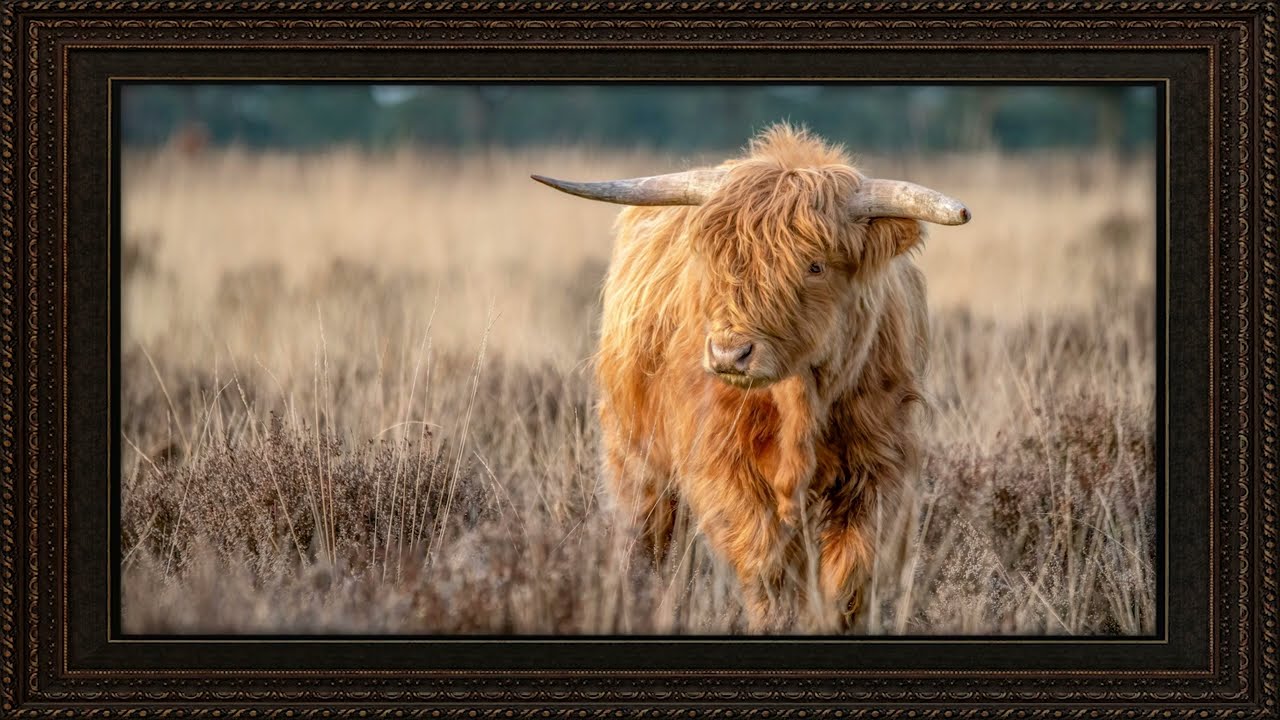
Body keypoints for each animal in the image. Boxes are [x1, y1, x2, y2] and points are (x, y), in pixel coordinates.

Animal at [533, 124, 970, 632]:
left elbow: (849, 572)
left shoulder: (880, 466)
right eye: (717, 262)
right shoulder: (722, 465)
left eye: (815, 265)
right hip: (637, 456)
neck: (800, 399)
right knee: (650, 539)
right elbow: (766, 566)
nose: (729, 354)